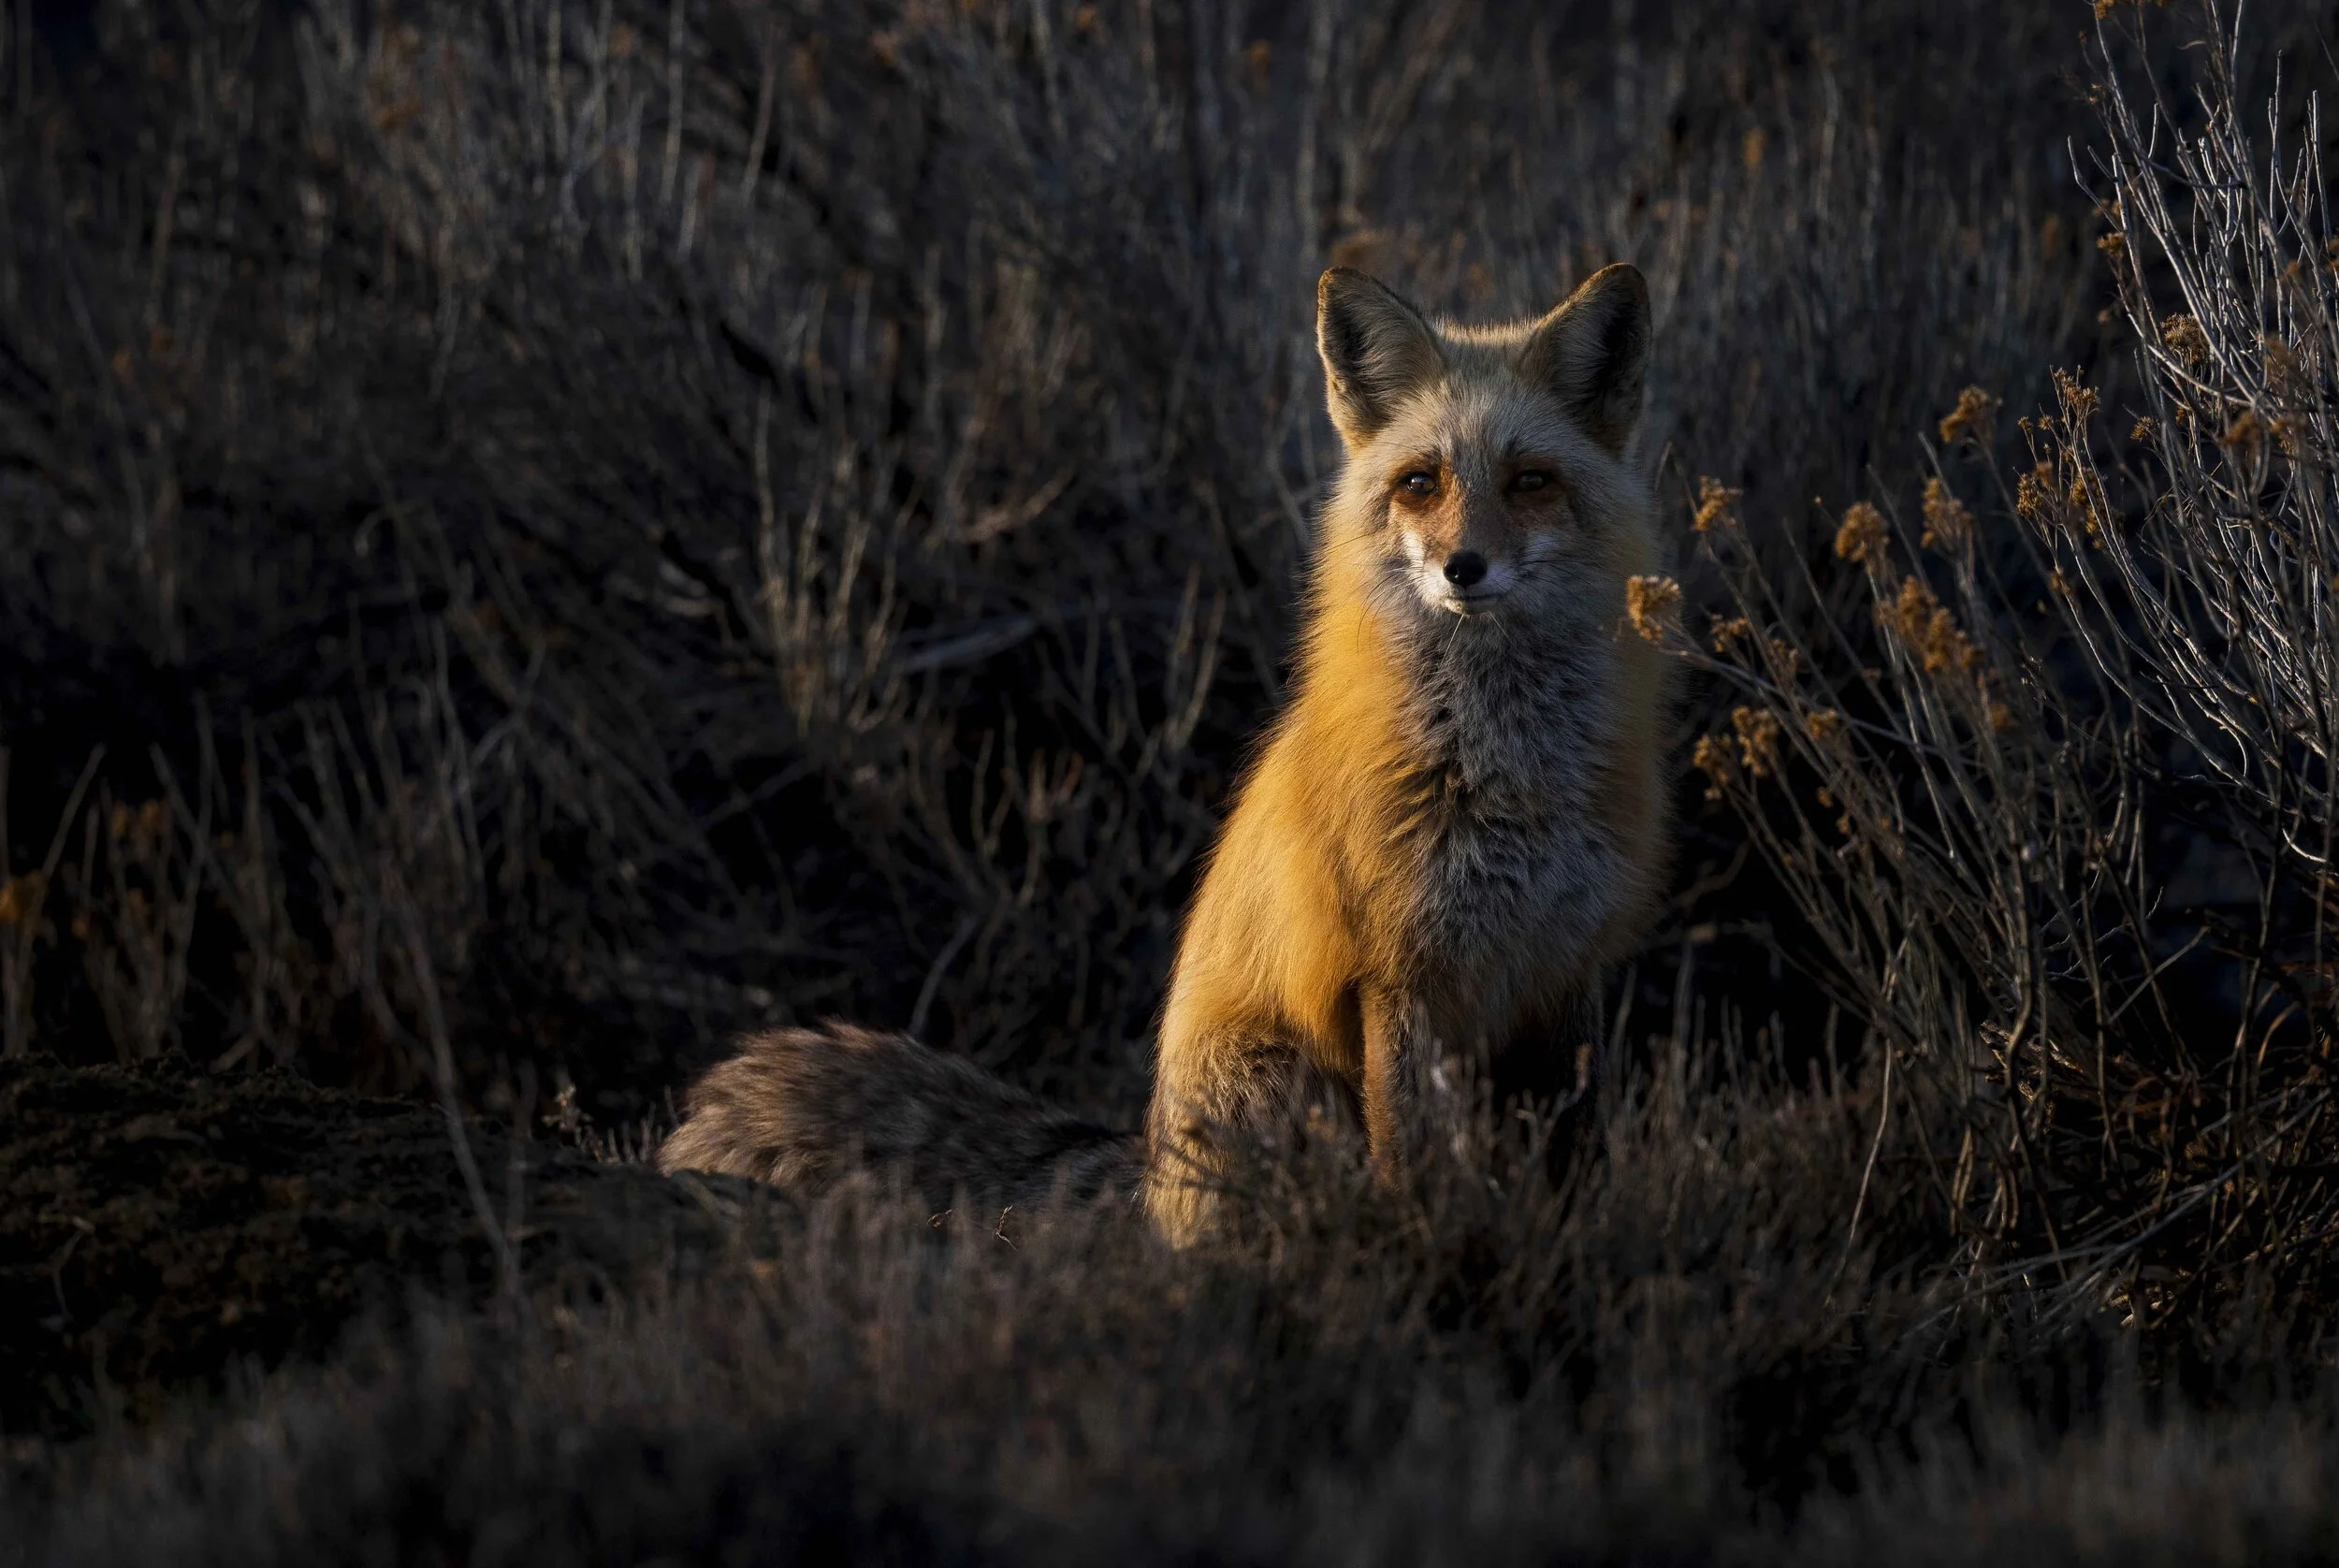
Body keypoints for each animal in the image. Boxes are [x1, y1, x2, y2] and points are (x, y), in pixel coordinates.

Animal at [658, 262, 1672, 1245]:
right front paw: (1437, 1252)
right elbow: (1418, 1169)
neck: (1502, 775)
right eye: (1421, 482)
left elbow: (1580, 1162)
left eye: (1529, 480)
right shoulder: (1397, 974)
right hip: (1279, 1081)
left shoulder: (1563, 972)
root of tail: (1148, 1172)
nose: (1465, 567)